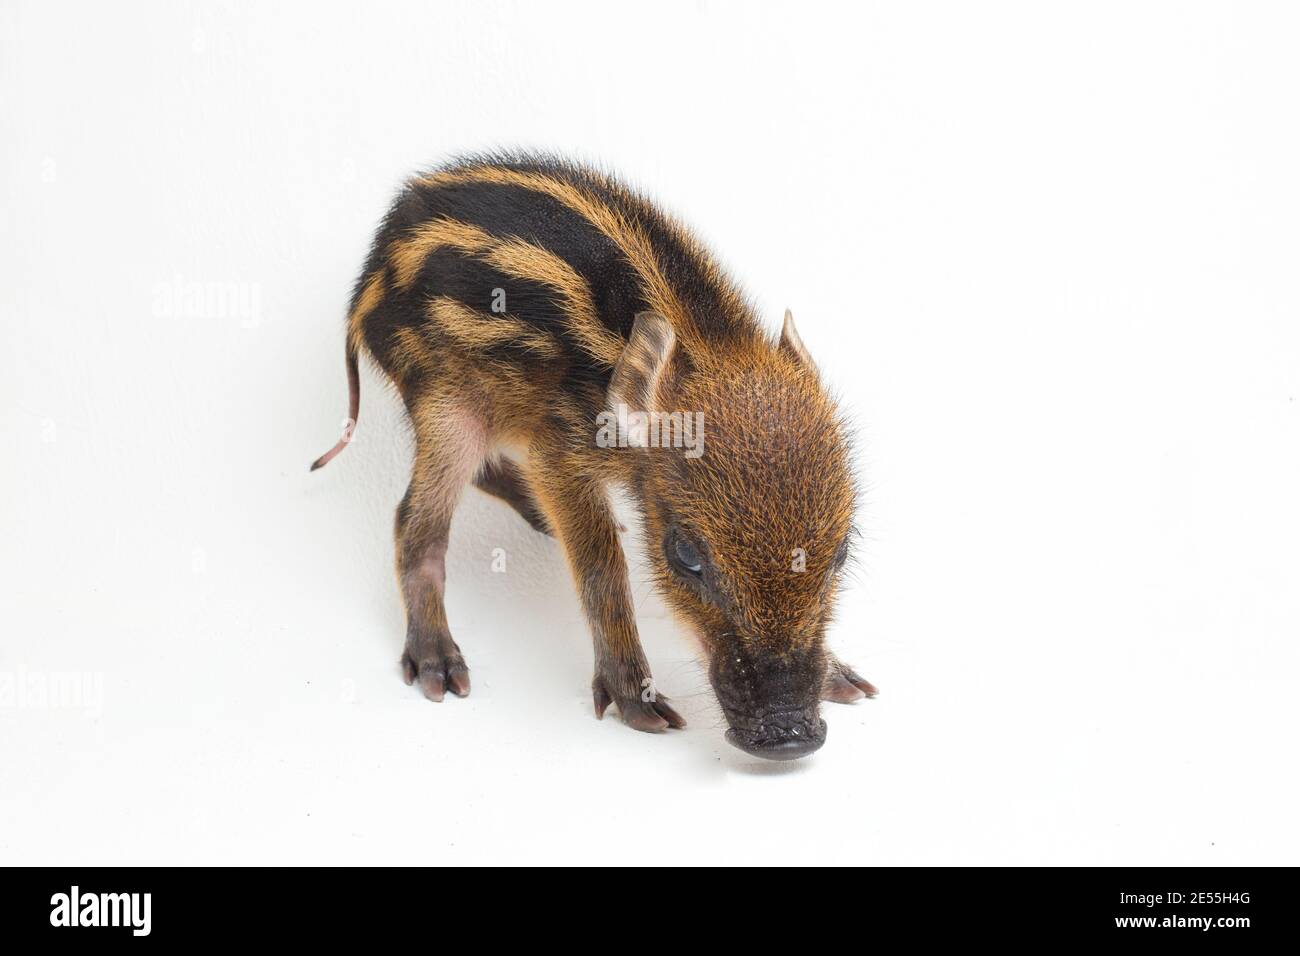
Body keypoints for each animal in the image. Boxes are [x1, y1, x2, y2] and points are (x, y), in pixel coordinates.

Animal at [312, 153, 877, 759]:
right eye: (685, 555)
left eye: (843, 552)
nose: (790, 739)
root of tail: (364, 287)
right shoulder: (560, 447)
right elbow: (603, 565)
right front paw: (641, 705)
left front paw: (848, 681)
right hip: (446, 403)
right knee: (415, 524)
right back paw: (438, 667)